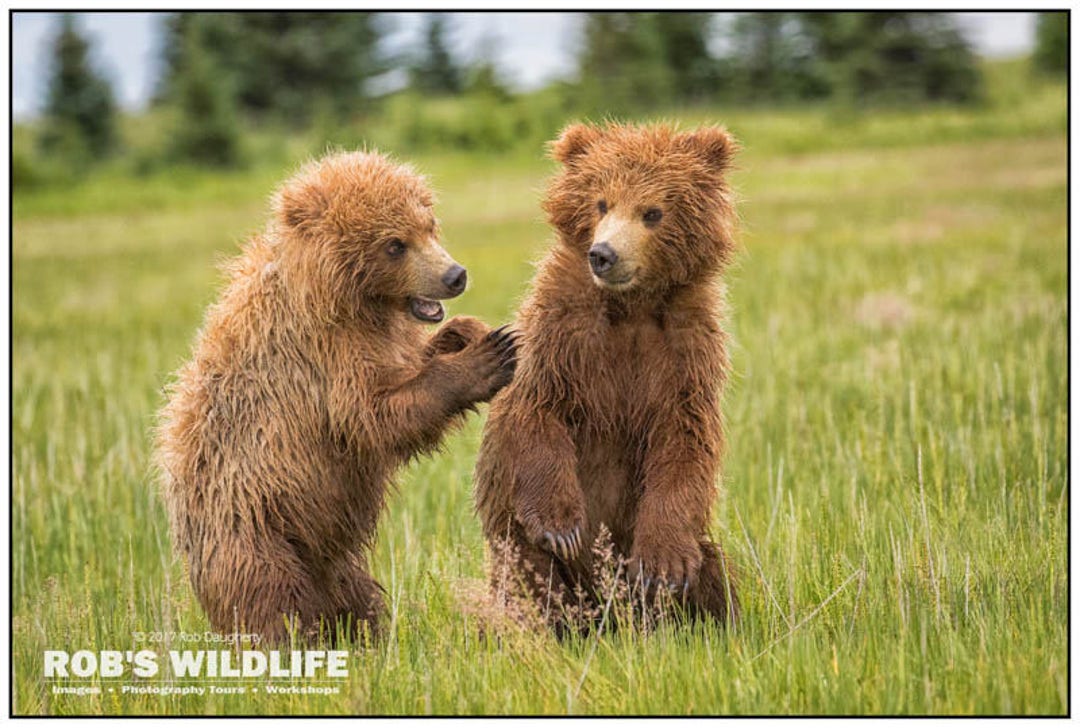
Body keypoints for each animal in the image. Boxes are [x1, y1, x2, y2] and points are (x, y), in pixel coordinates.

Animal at [156, 150, 517, 643]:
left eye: (429, 225)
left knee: (355, 594)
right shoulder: (323, 356)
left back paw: (366, 636)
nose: (454, 275)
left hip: (330, 553)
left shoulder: (380, 337)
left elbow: (407, 366)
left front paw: (468, 331)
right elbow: (373, 416)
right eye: (394, 244)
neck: (351, 298)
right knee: (272, 604)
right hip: (255, 528)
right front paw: (487, 359)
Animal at [474, 122, 739, 631]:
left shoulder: (685, 351)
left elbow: (684, 442)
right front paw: (563, 527)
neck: (631, 307)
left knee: (714, 571)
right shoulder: (563, 333)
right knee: (528, 587)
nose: (603, 254)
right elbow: (534, 407)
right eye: (600, 202)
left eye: (652, 211)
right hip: (518, 556)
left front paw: (663, 568)